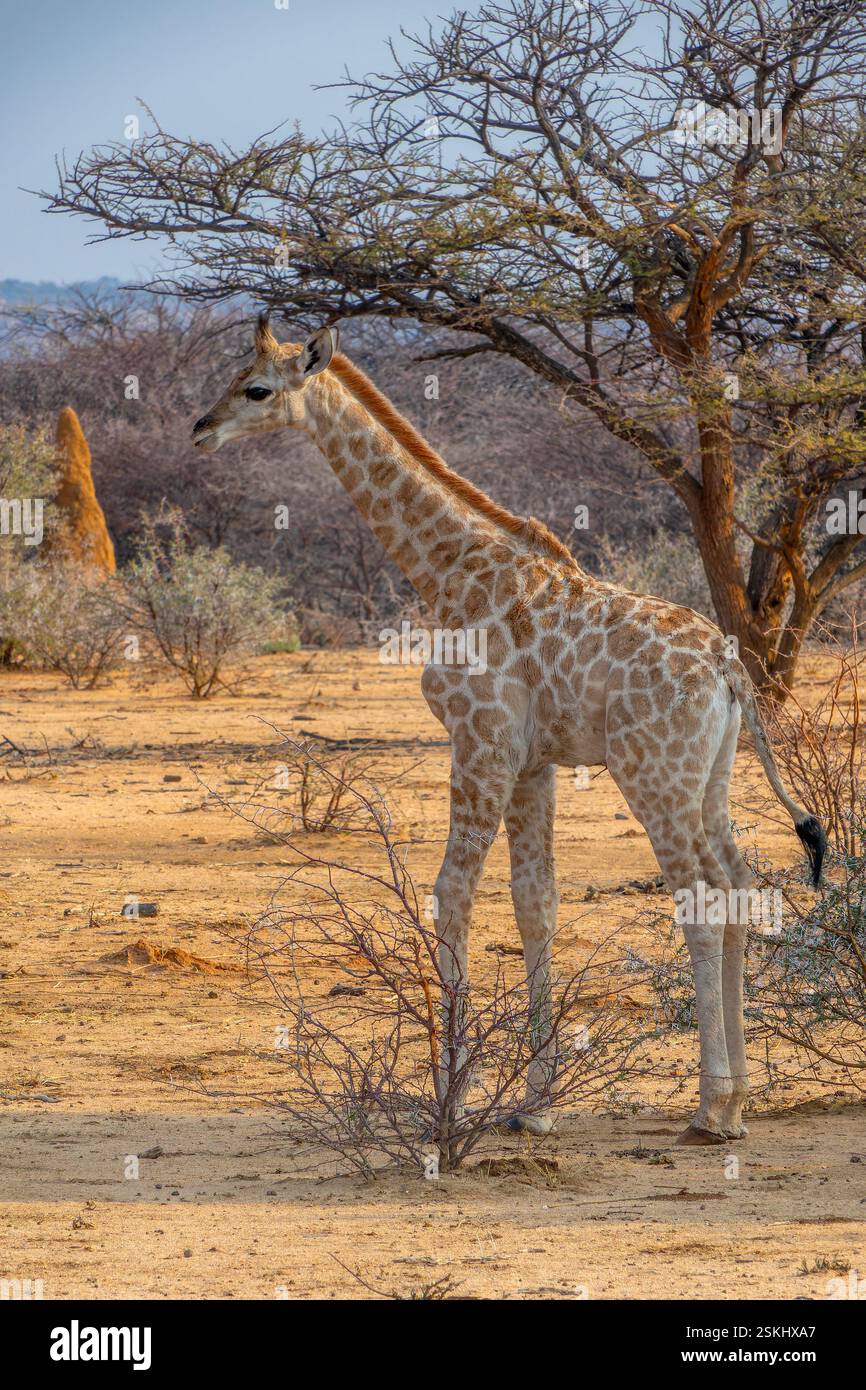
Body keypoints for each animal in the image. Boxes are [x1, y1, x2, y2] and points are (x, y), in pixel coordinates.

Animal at [192, 318, 826, 1145]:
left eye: (256, 389)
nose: (201, 429)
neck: (445, 569)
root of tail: (729, 668)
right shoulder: (534, 762)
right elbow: (535, 903)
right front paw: (536, 1103)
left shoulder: (479, 741)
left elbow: (451, 893)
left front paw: (454, 1096)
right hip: (708, 777)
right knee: (740, 882)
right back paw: (740, 1100)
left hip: (651, 774)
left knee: (698, 896)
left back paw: (710, 1107)